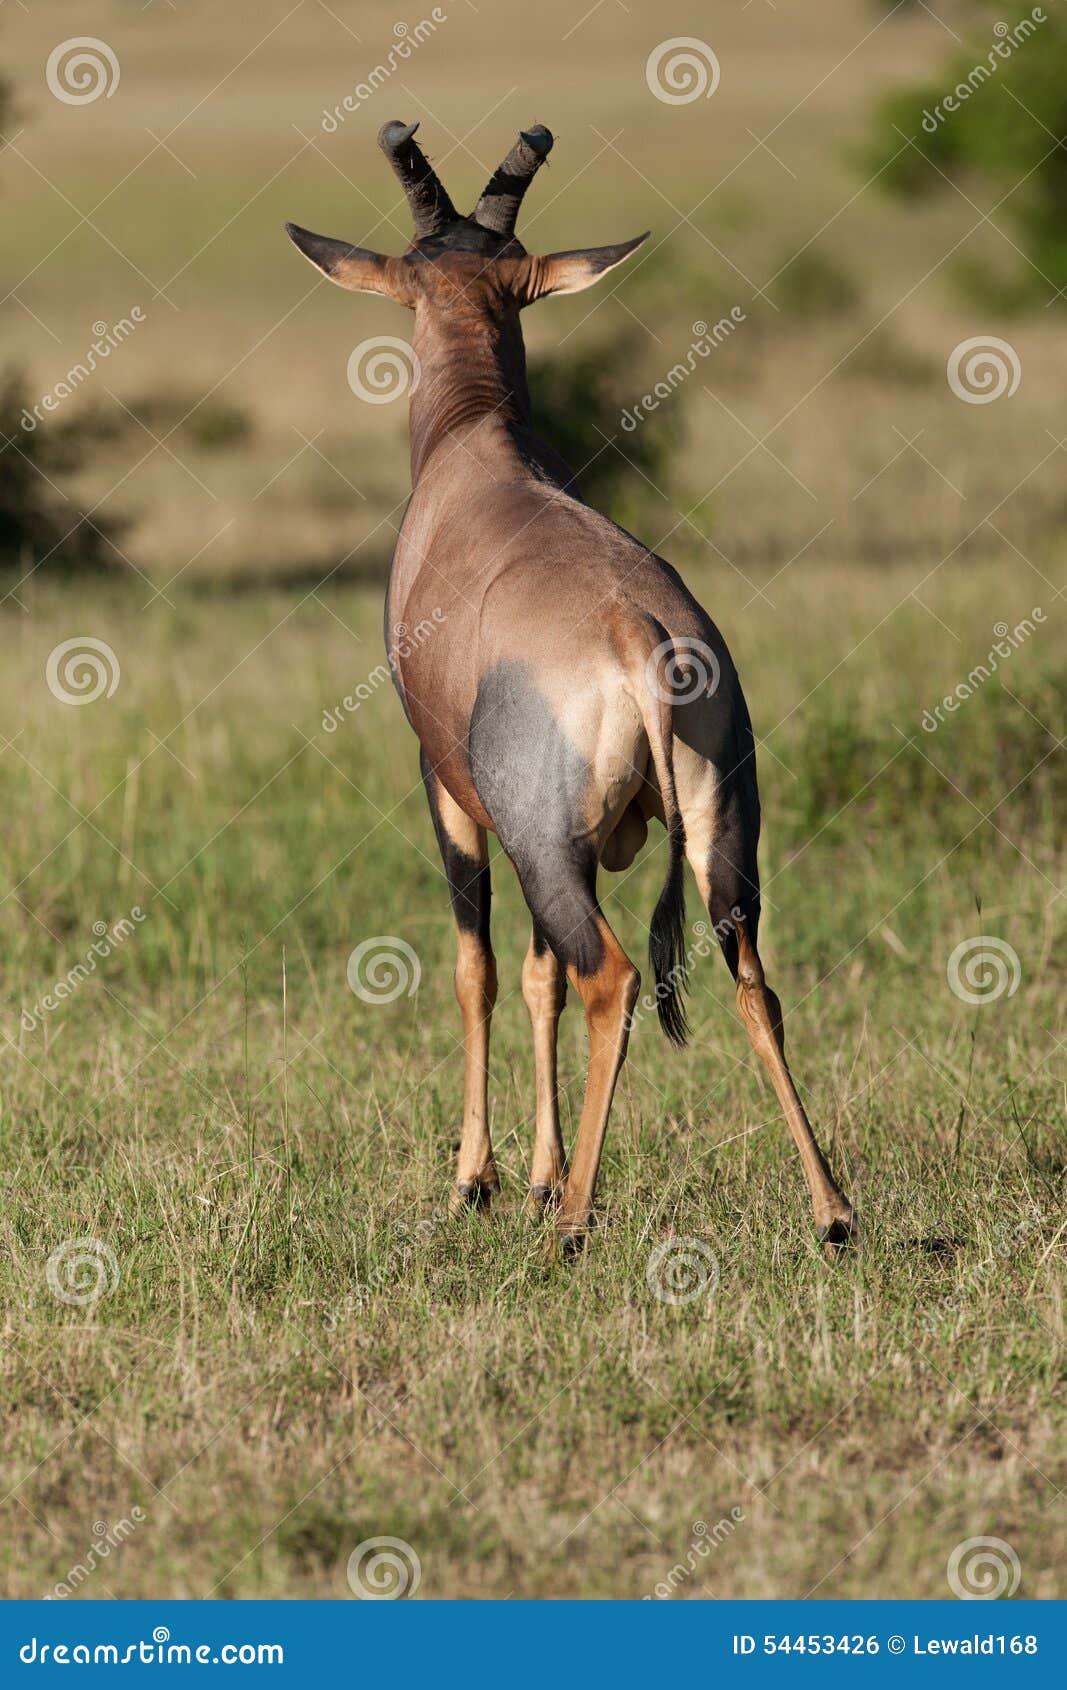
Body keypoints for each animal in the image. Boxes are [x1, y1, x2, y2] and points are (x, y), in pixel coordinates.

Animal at [286, 120, 855, 1254]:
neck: (480, 453)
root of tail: (636, 635)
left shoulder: (452, 793)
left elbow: (482, 970)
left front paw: (483, 1180)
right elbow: (536, 976)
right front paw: (539, 1175)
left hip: (545, 842)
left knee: (610, 978)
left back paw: (577, 1224)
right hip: (720, 833)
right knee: (750, 983)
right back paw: (831, 1210)